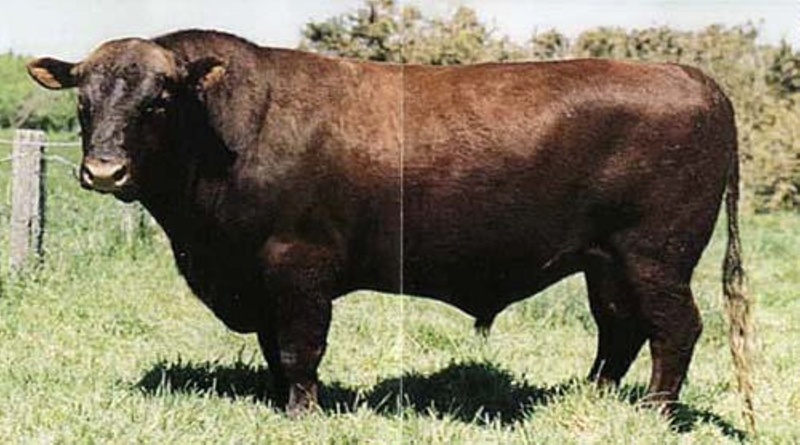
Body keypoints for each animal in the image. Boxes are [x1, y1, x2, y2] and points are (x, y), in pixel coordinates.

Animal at [27, 29, 753, 422]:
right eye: (84, 100)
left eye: (159, 100)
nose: (103, 170)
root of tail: (687, 74)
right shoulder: (257, 275)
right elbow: (271, 347)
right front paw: (277, 399)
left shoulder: (297, 263)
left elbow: (299, 347)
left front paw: (302, 412)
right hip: (606, 259)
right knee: (619, 328)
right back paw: (590, 398)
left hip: (655, 255)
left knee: (674, 328)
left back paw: (655, 412)